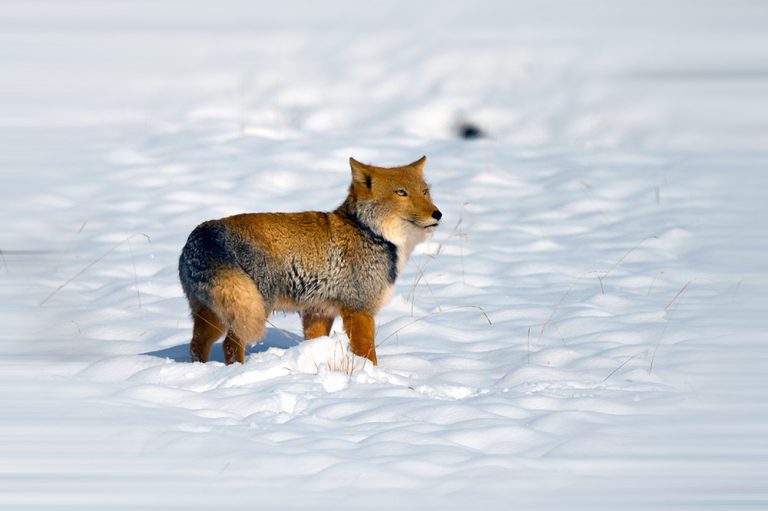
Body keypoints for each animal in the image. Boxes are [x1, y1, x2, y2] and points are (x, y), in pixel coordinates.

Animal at [178, 156, 441, 366]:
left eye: (425, 192)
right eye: (401, 193)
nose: (437, 214)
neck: (369, 232)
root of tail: (205, 233)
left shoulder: (318, 312)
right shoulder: (359, 310)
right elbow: (367, 354)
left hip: (215, 316)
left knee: (197, 345)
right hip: (253, 311)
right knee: (230, 345)